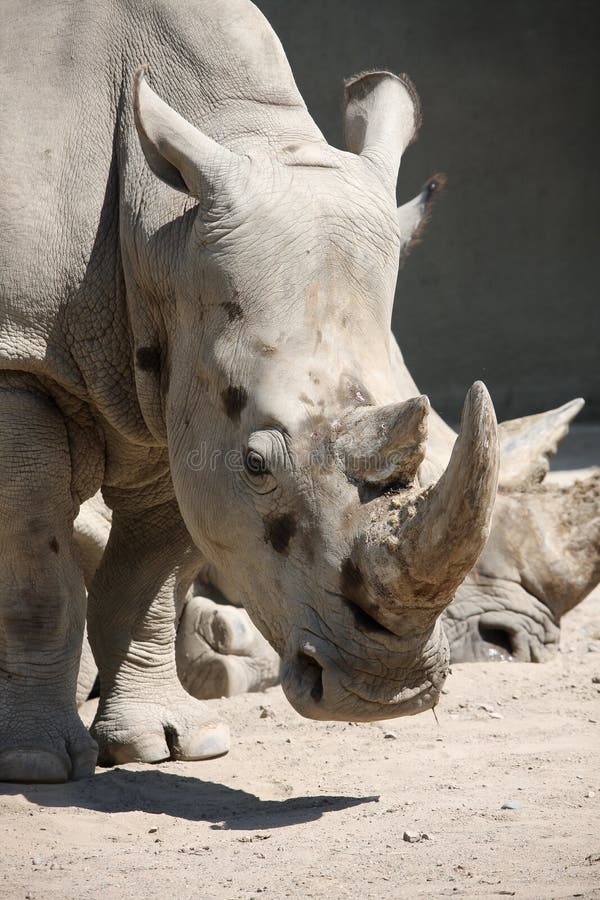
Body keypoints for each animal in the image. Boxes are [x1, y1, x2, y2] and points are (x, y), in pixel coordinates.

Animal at [0, 0, 502, 783]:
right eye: (259, 465)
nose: (382, 693)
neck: (161, 233)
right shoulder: (20, 361)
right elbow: (37, 574)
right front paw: (36, 764)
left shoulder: (178, 397)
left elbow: (148, 579)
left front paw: (164, 742)